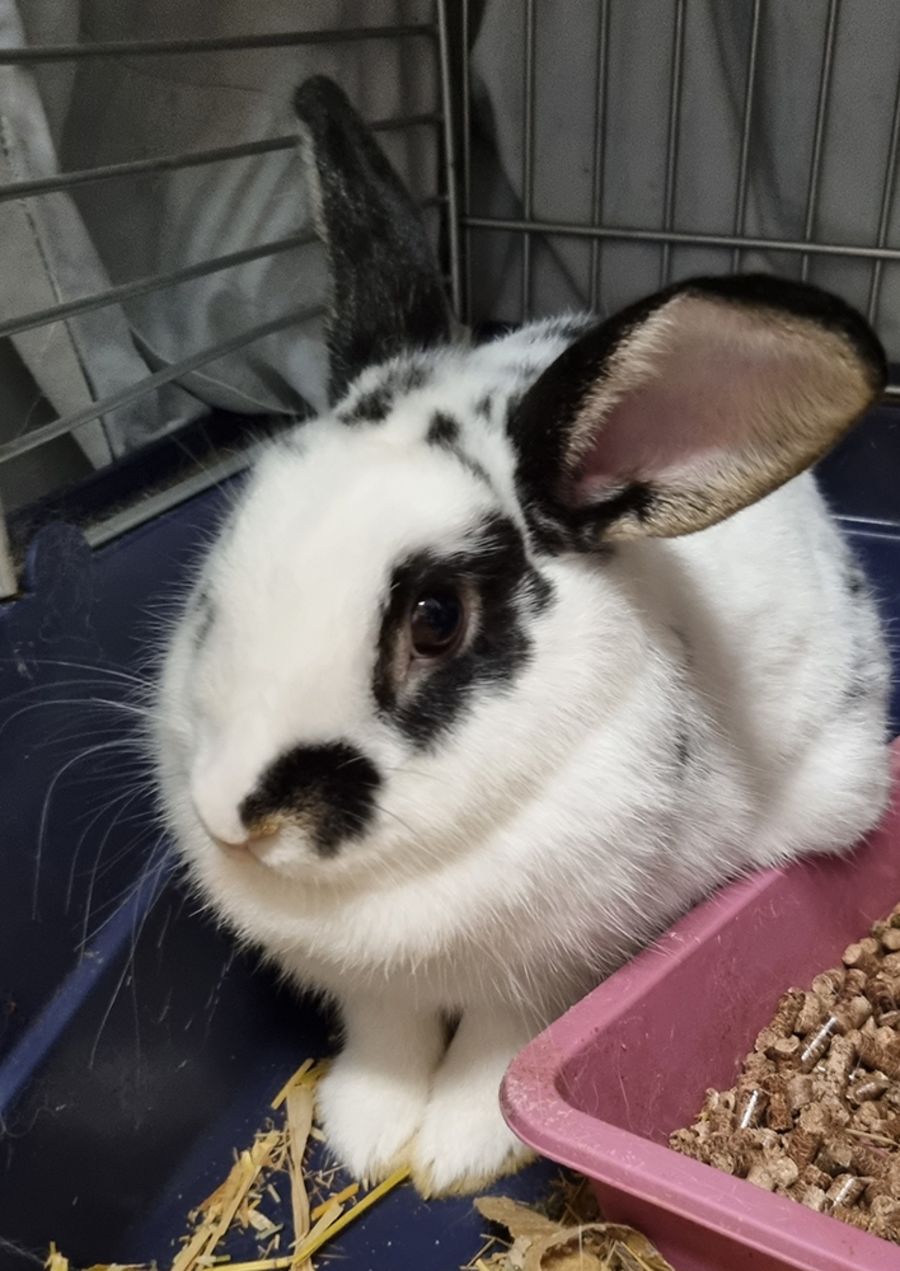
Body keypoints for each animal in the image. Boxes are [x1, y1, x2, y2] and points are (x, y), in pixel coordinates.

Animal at [152, 77, 893, 1196]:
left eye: (436, 618)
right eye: (231, 544)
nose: (237, 816)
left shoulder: (551, 969)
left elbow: (495, 1051)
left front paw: (455, 1152)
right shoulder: (372, 992)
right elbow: (388, 1035)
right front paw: (368, 1132)